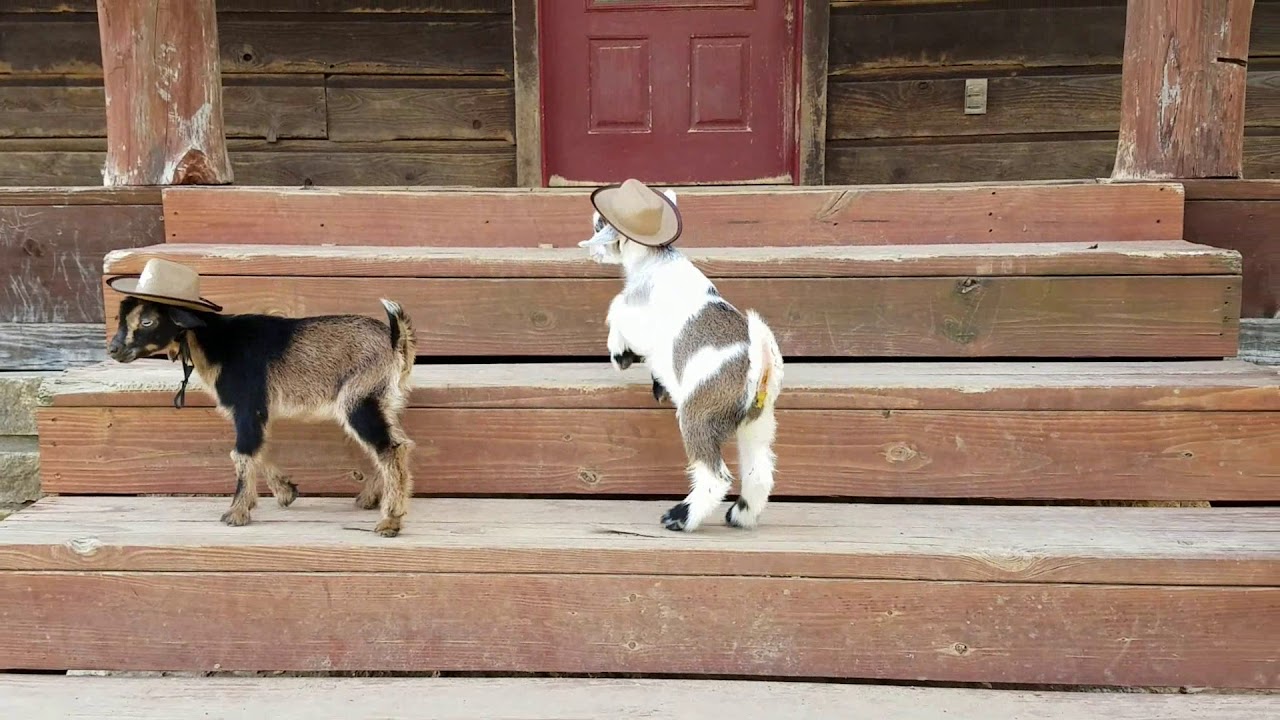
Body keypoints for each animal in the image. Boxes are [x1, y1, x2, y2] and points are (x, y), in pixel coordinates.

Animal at [107, 297, 417, 537]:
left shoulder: (247, 404)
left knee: (389, 448)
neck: (216, 343)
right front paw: (285, 491)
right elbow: (258, 448)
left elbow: (242, 453)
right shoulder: (257, 411)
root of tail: (396, 342)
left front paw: (236, 513)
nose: (113, 349)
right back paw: (370, 498)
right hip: (382, 399)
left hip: (359, 397)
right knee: (398, 444)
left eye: (148, 321)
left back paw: (390, 520)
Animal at [580, 189, 784, 532]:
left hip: (699, 415)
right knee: (759, 473)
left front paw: (621, 355)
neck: (657, 258)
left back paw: (680, 516)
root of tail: (760, 364)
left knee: (715, 476)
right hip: (757, 424)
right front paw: (658, 384)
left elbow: (616, 310)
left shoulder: (636, 315)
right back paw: (740, 515)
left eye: (599, 224)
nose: (593, 251)